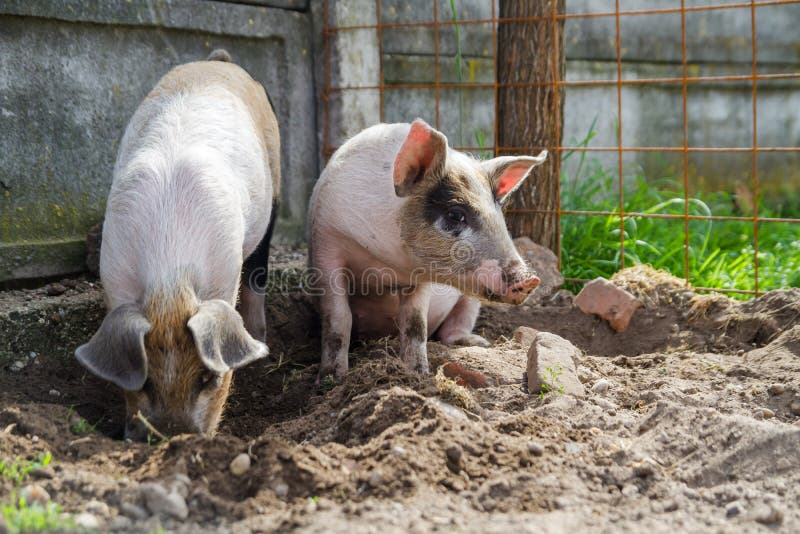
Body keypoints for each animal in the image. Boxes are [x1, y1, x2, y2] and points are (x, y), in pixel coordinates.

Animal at [75, 50, 280, 439]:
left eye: (208, 377)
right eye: (145, 383)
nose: (174, 436)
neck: (170, 277)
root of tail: (219, 61)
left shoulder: (225, 271)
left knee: (259, 270)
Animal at [308, 118, 547, 379]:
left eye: (499, 214)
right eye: (455, 214)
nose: (530, 279)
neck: (385, 261)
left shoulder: (422, 276)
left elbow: (415, 324)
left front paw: (419, 375)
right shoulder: (326, 244)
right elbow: (338, 317)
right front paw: (332, 378)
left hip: (469, 300)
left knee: (455, 326)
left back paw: (479, 342)